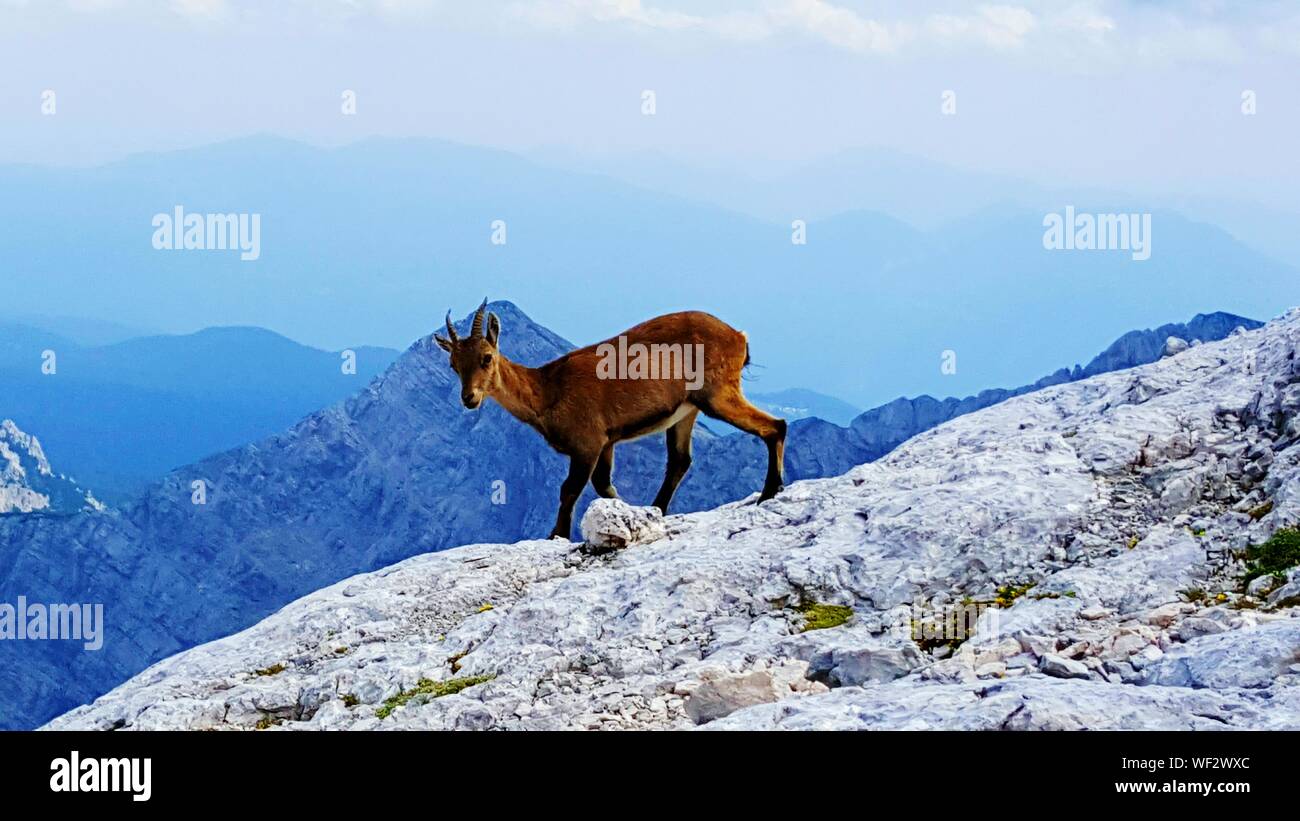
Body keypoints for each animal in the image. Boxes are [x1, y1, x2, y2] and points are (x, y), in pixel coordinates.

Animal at [435, 301, 787, 540]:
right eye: (453, 364)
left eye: (486, 357)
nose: (469, 398)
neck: (547, 390)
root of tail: (738, 336)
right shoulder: (607, 443)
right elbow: (604, 485)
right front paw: (631, 515)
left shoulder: (588, 444)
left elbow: (569, 490)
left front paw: (557, 535)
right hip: (687, 410)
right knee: (680, 460)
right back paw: (659, 508)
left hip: (716, 394)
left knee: (775, 426)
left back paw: (770, 491)